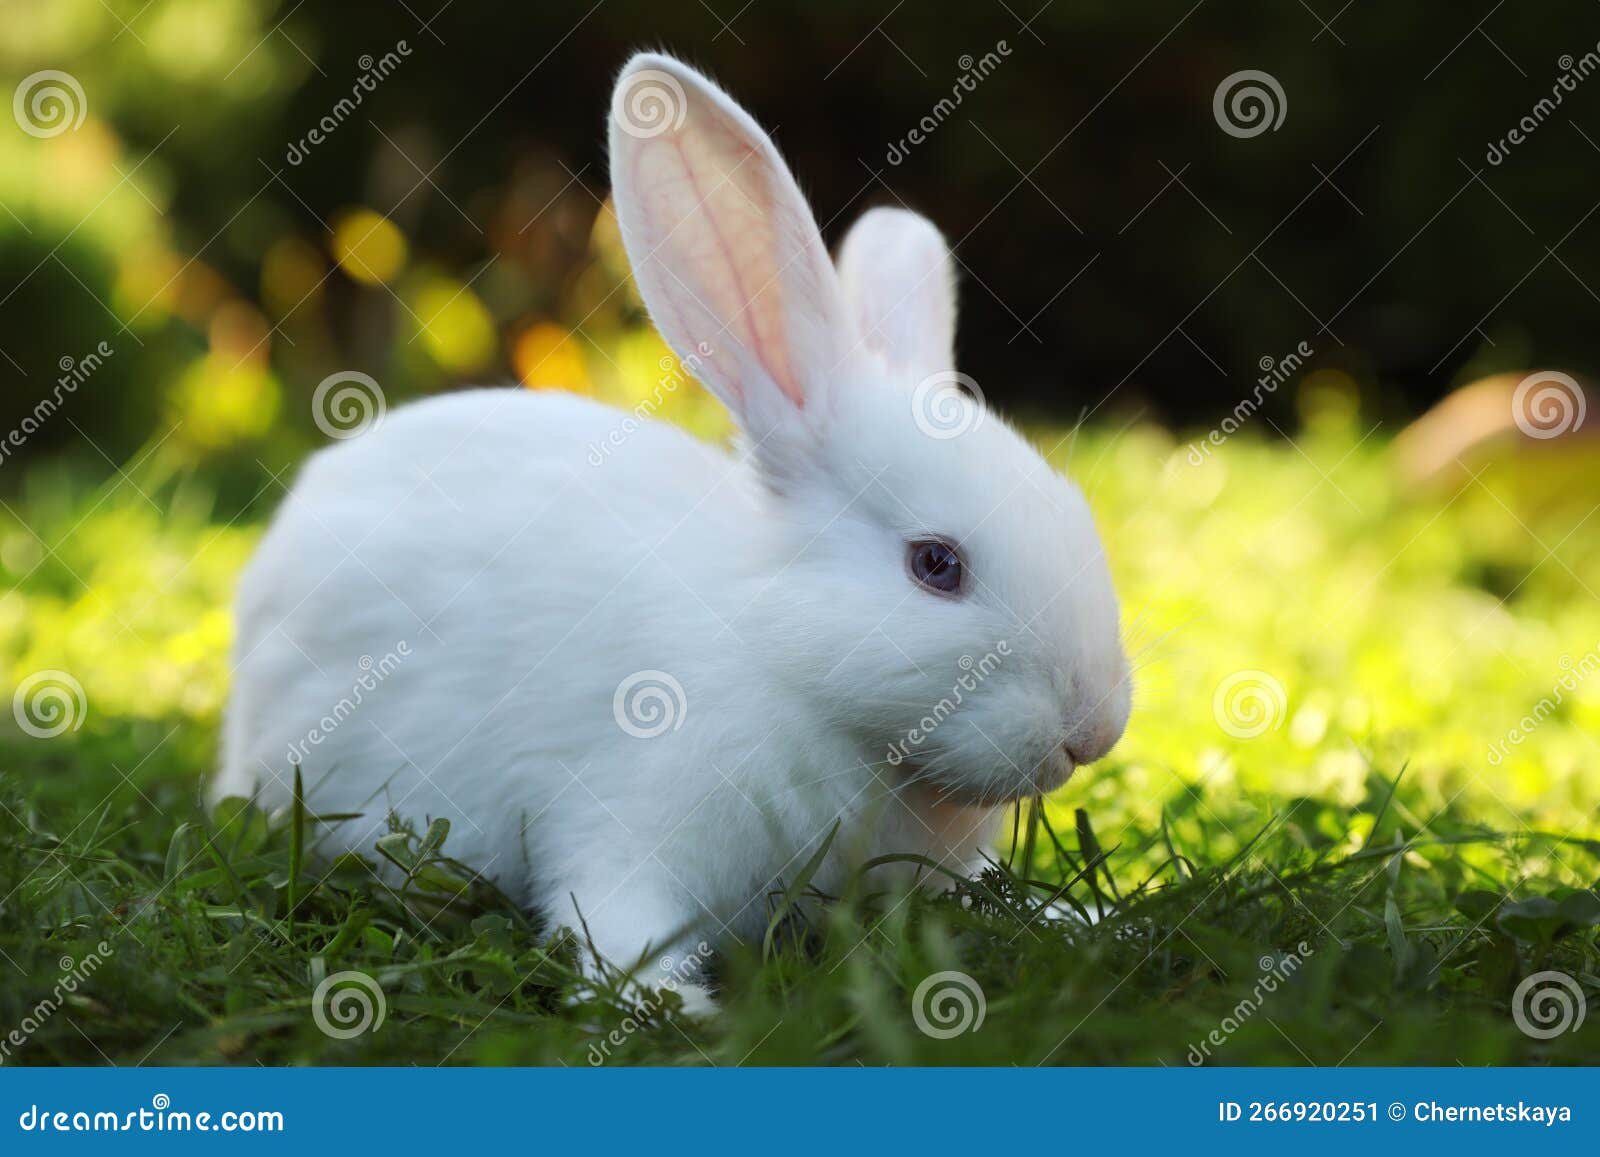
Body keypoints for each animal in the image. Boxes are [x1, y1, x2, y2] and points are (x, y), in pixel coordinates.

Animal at [214, 52, 1131, 1007]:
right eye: (937, 564)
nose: (1094, 730)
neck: (782, 660)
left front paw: (1093, 918)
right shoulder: (633, 819)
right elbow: (616, 918)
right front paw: (675, 1009)